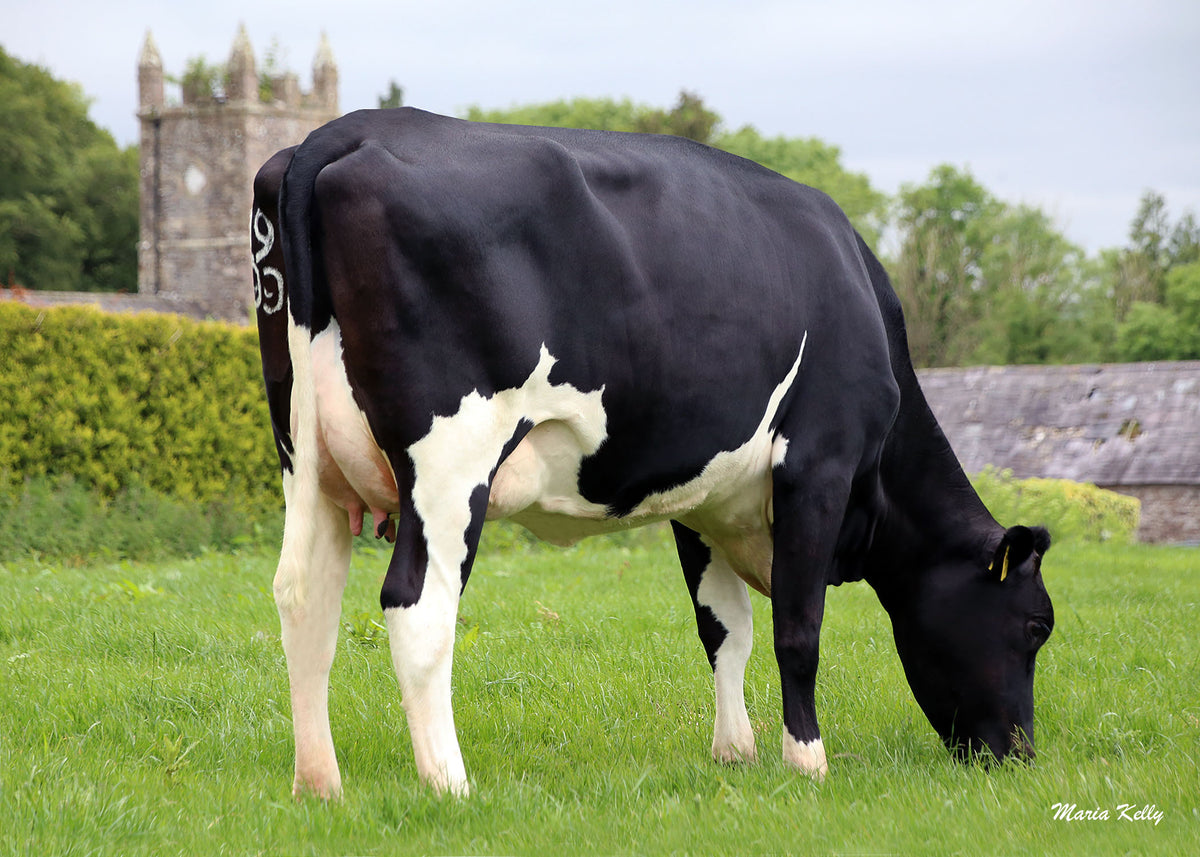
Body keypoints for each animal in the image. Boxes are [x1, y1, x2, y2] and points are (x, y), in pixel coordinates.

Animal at [250, 107, 1054, 799]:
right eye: (1036, 626)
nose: (1019, 754)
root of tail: (345, 132)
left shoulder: (705, 496)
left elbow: (724, 628)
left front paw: (735, 752)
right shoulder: (817, 466)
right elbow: (798, 629)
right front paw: (808, 763)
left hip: (306, 457)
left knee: (304, 597)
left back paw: (318, 784)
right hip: (450, 459)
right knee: (416, 602)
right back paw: (449, 783)